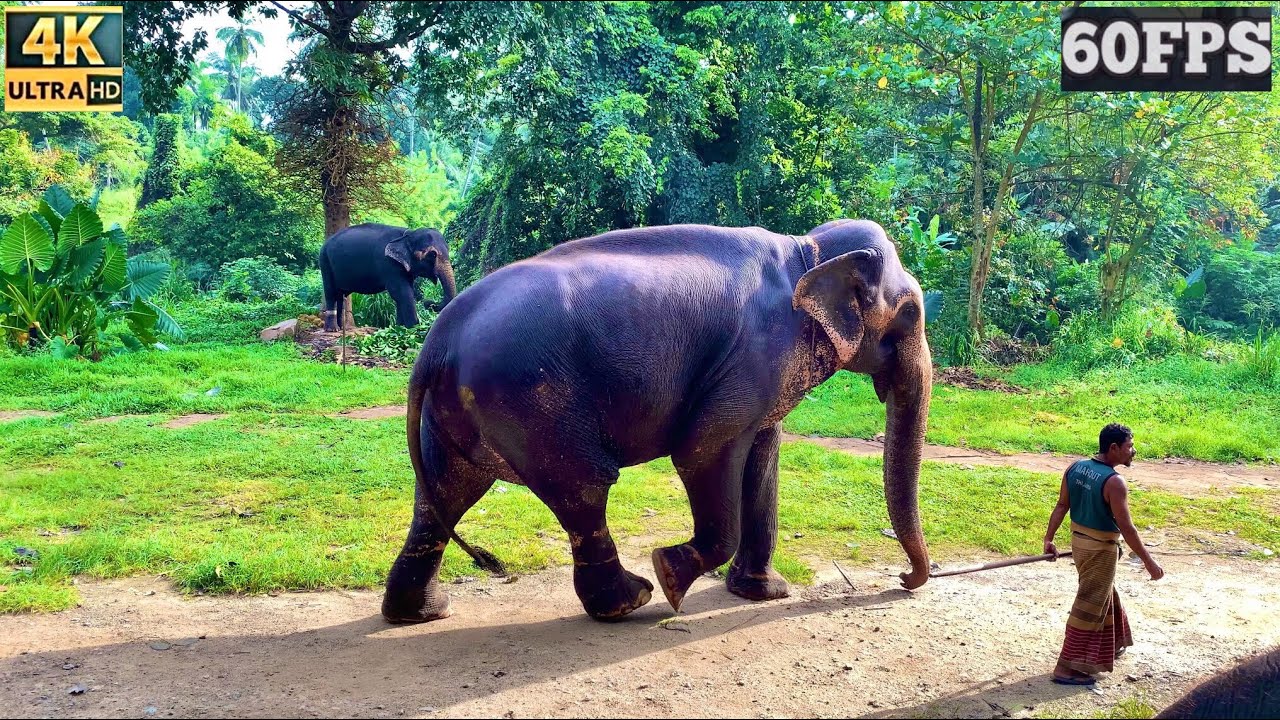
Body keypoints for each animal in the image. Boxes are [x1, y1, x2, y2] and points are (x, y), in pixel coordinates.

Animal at [318, 223, 457, 332]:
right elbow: (402, 292)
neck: (407, 234)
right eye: (432, 254)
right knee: (331, 292)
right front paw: (414, 329)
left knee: (339, 296)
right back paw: (332, 329)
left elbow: (403, 293)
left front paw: (400, 328)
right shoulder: (388, 264)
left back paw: (341, 328)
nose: (428, 302)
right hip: (325, 261)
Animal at [381, 219, 933, 623]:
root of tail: (437, 339)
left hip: (461, 410)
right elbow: (702, 448)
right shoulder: (755, 356)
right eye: (909, 313)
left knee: (446, 493)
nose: (904, 582)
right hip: (529, 400)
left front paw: (764, 593)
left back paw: (422, 613)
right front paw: (671, 576)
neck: (807, 251)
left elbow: (763, 454)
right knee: (583, 486)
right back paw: (634, 600)